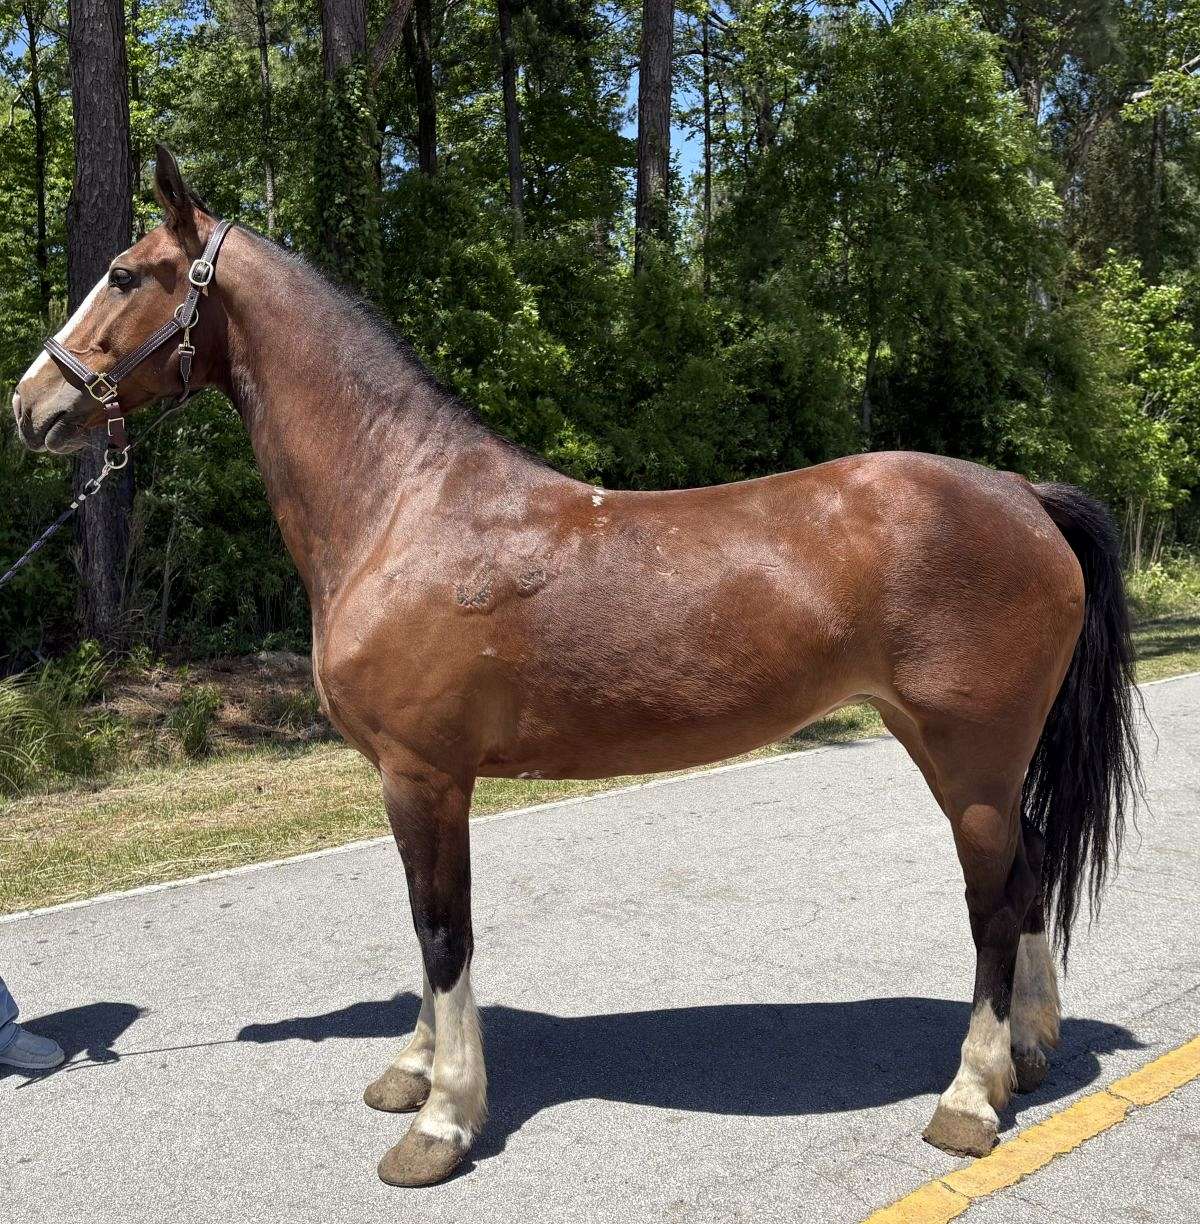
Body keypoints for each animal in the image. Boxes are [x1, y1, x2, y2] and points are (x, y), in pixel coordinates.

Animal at [12, 147, 1141, 1187]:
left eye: (124, 272)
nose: (31, 406)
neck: (402, 507)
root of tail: (1020, 493)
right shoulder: (413, 782)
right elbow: (423, 931)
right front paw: (412, 1073)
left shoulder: (425, 775)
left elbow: (442, 934)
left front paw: (441, 1123)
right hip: (959, 751)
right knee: (1032, 873)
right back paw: (1028, 1054)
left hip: (971, 755)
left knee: (996, 900)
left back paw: (969, 1097)